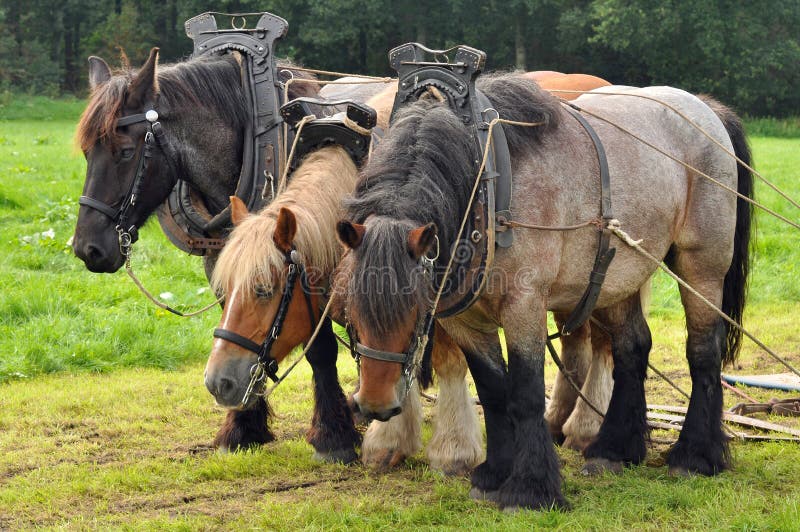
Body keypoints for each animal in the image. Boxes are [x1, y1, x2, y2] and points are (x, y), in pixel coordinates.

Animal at [71, 47, 381, 459]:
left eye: (125, 152)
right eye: (87, 152)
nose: (88, 248)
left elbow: (320, 349)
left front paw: (334, 437)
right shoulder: (226, 263)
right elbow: (236, 326)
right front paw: (243, 424)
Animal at [335, 73, 752, 510]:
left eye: (415, 310)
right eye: (350, 311)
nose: (374, 404)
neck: (486, 187)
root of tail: (704, 106)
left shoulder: (525, 304)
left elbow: (526, 394)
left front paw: (530, 488)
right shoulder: (467, 319)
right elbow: (494, 392)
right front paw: (493, 474)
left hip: (702, 264)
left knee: (703, 352)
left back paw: (695, 455)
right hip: (620, 273)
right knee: (632, 349)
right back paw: (613, 449)